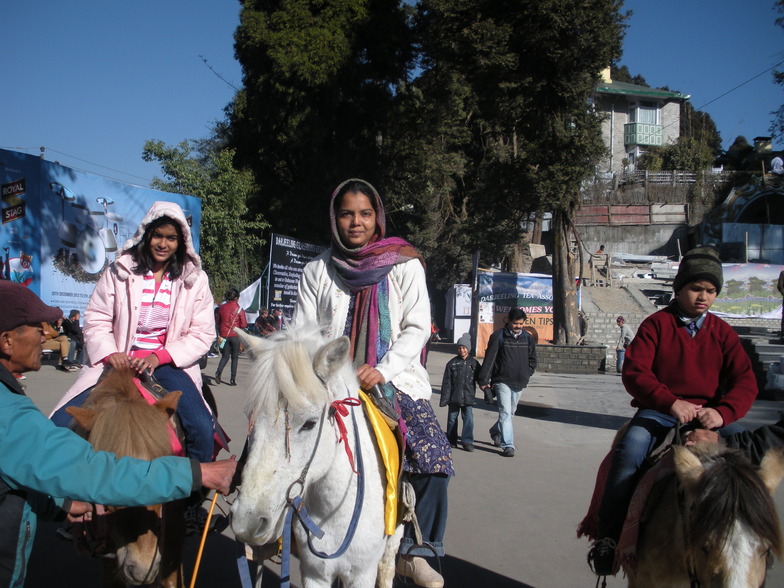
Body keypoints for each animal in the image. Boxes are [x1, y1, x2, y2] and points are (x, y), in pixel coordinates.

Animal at [231, 328, 404, 584]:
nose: (247, 522)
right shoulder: (314, 572)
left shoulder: (362, 573)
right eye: (249, 416)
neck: (334, 513)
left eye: (310, 423)